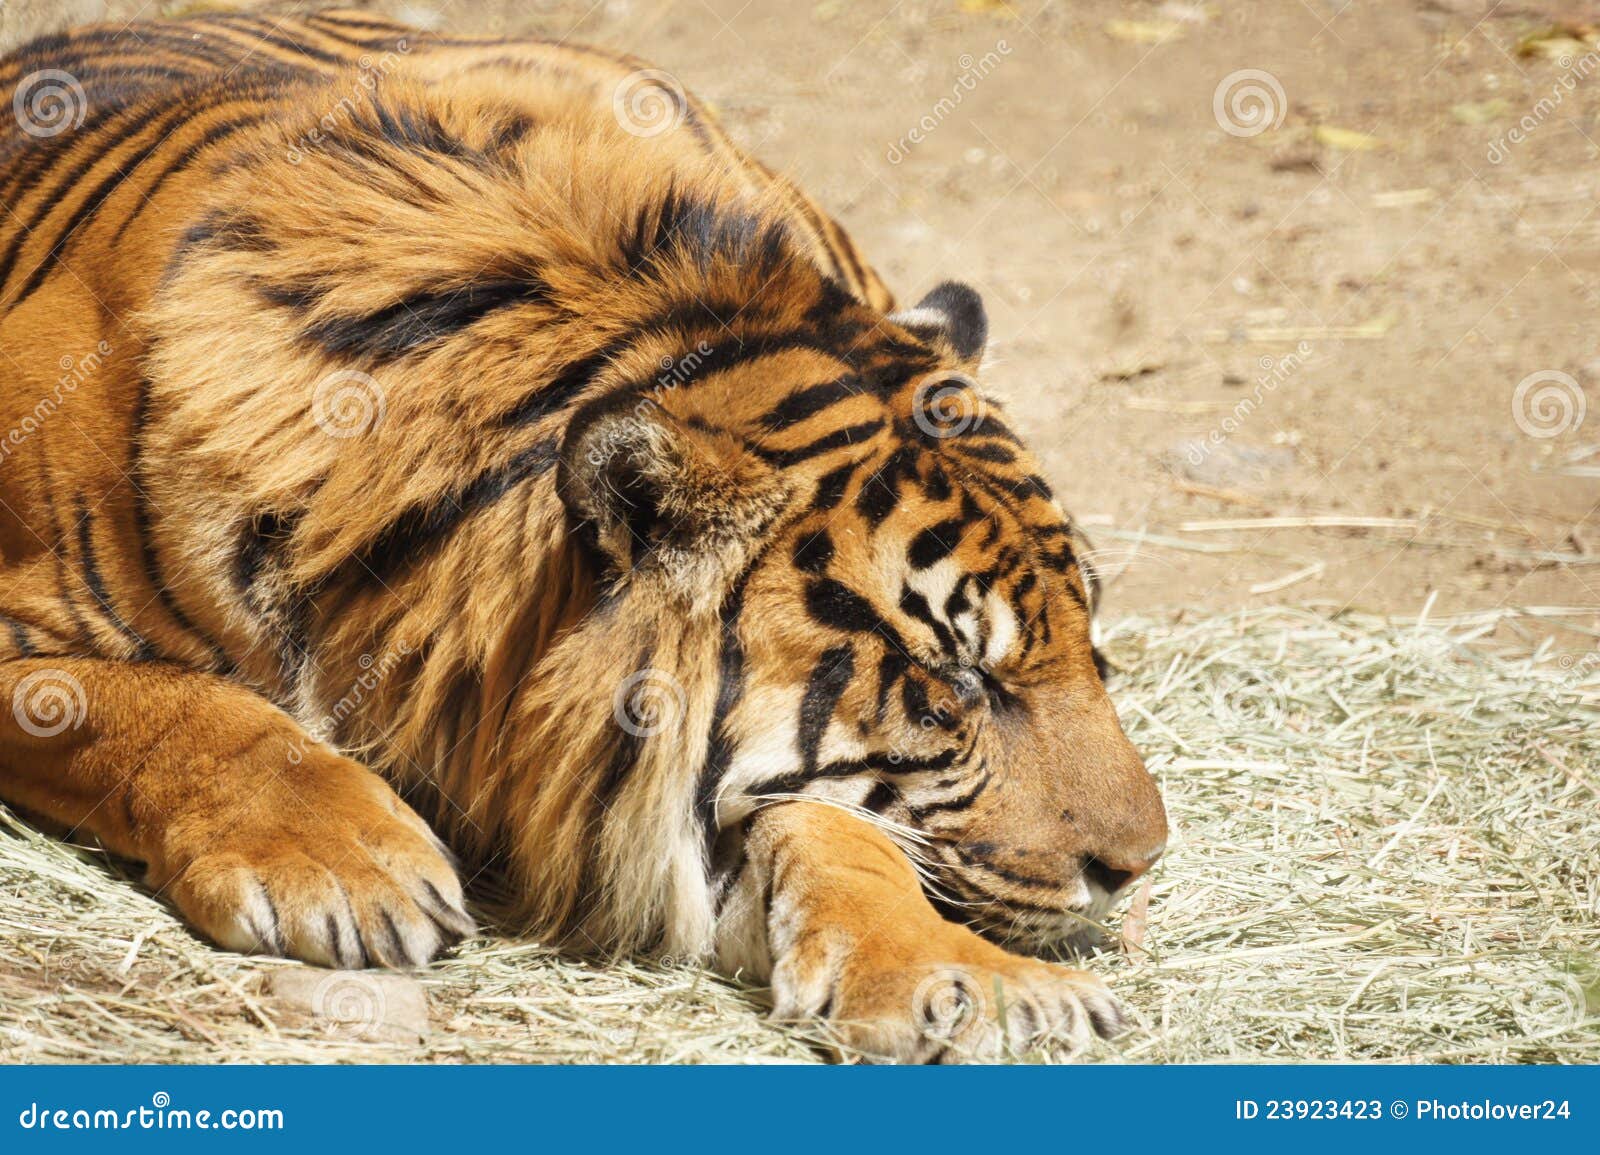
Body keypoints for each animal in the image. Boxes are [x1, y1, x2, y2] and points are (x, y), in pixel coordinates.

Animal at [0, 8, 1168, 1062]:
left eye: (1090, 638)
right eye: (956, 683)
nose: (1142, 863)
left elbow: (844, 828)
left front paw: (970, 982)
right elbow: (169, 707)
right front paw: (345, 864)